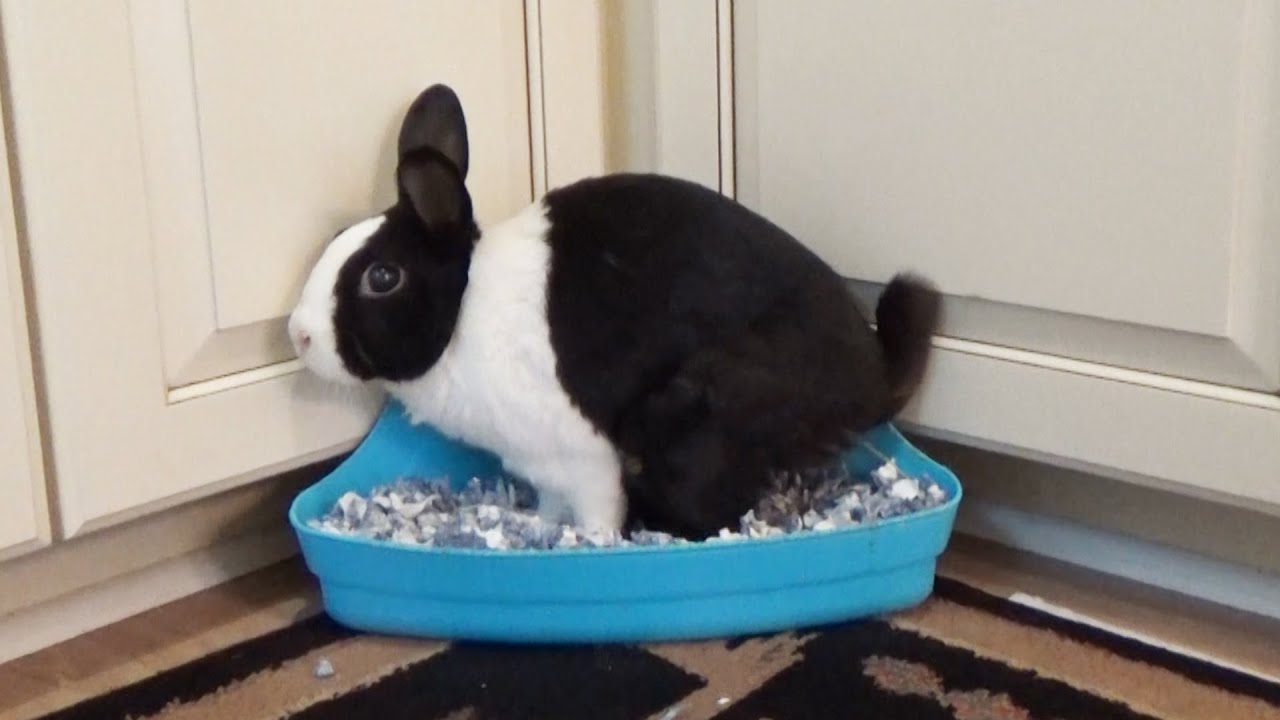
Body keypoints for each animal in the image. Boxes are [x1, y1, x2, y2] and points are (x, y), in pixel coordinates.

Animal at [288, 84, 941, 540]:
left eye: (382, 278)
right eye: (337, 238)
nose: (297, 335)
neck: (465, 313)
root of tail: (872, 383)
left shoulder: (583, 456)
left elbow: (596, 505)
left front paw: (589, 541)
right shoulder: (543, 467)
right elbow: (552, 504)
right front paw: (540, 529)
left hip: (694, 422)